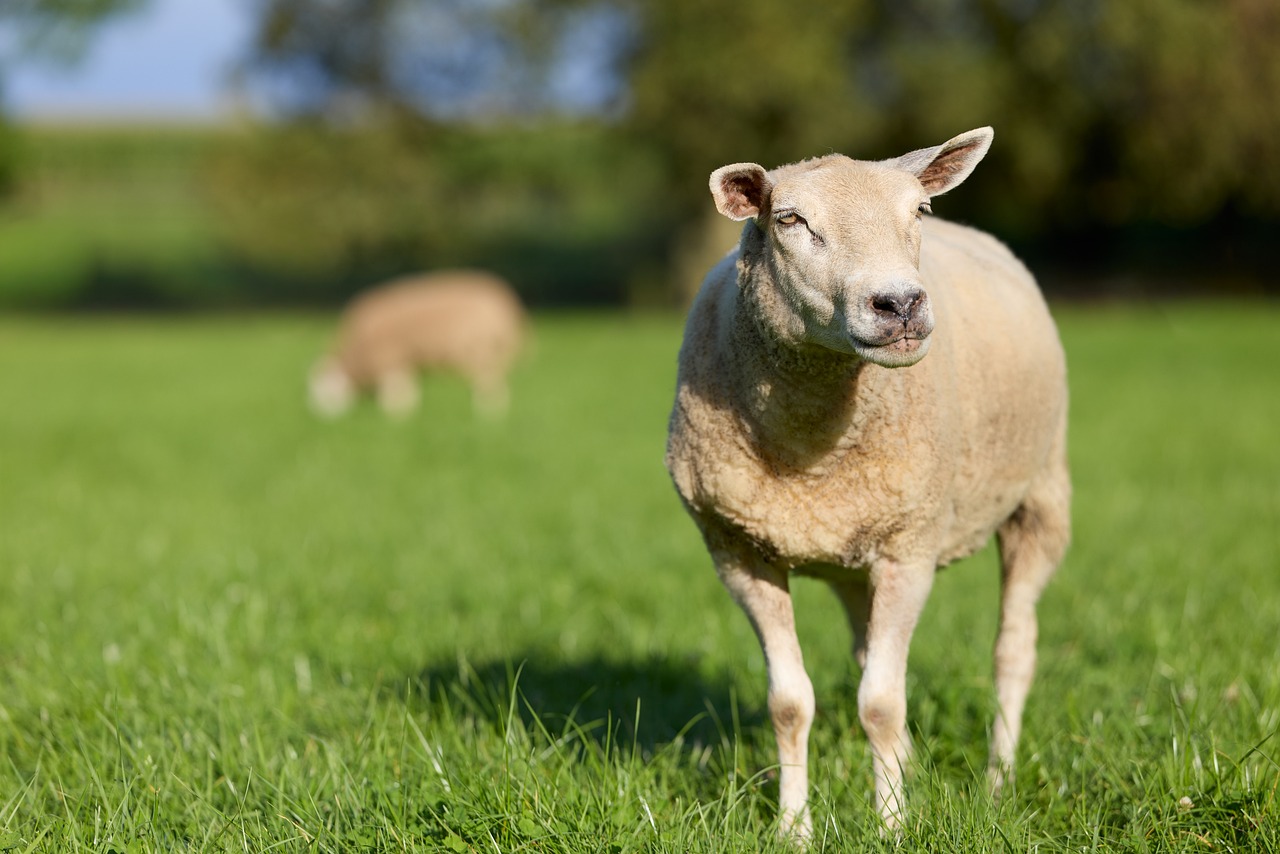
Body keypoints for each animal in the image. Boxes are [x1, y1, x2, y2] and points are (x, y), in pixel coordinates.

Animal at [309, 270, 526, 418]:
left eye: (325, 391)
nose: (319, 419)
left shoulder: (391, 360)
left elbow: (396, 394)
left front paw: (395, 418)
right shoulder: (405, 362)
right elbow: (410, 394)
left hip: (480, 351)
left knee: (490, 386)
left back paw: (488, 415)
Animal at [664, 127, 1070, 841]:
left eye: (919, 212)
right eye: (790, 220)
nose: (901, 304)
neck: (812, 450)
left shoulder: (910, 550)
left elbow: (880, 704)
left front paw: (891, 827)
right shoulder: (738, 551)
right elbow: (790, 703)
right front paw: (793, 829)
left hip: (1041, 494)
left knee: (1013, 650)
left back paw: (997, 784)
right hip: (855, 557)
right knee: (865, 652)